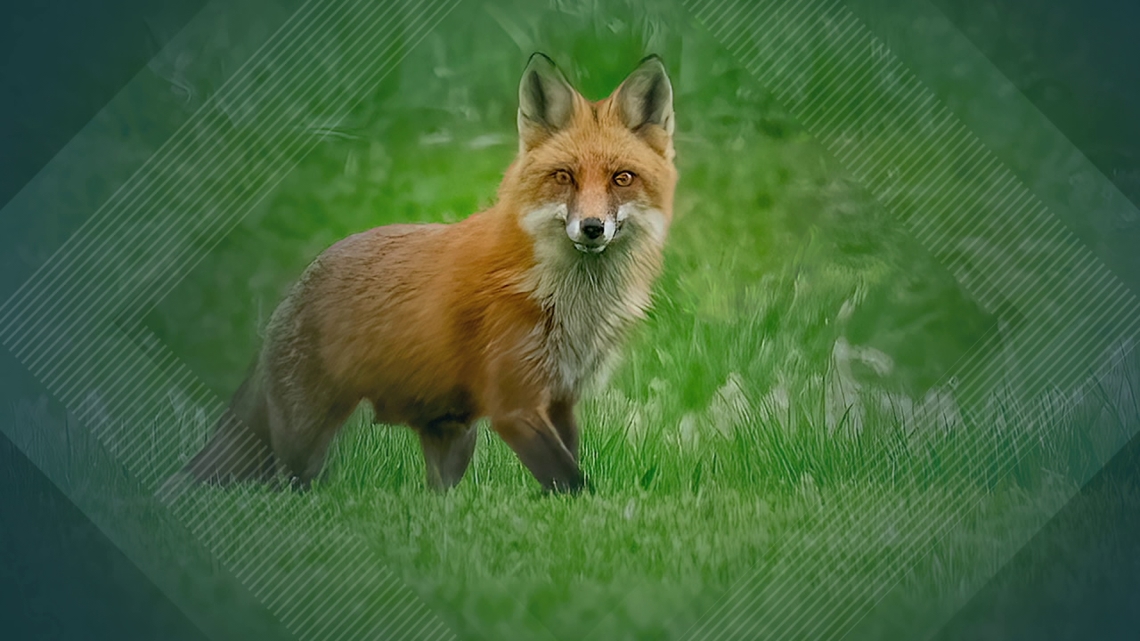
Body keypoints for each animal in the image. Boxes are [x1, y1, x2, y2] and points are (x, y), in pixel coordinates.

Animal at [172, 53, 677, 494]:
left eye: (622, 178)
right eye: (564, 177)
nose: (591, 228)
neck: (572, 302)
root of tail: (297, 287)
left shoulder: (560, 398)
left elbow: (568, 472)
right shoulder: (513, 403)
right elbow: (573, 482)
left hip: (452, 437)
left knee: (437, 494)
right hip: (304, 440)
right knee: (286, 487)